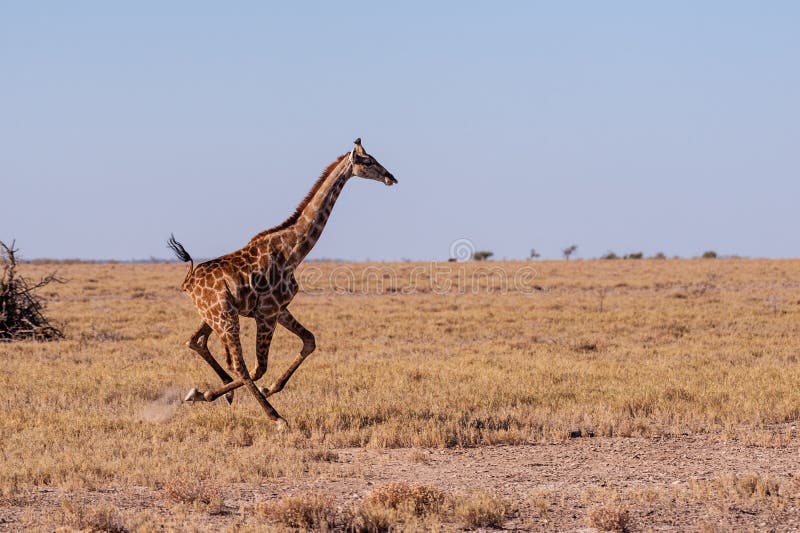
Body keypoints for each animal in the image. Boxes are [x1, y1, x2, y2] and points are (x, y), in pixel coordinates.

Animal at [168, 138, 397, 427]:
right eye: (367, 161)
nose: (391, 177)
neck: (292, 251)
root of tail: (188, 282)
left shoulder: (280, 309)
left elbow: (309, 341)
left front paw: (265, 389)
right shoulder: (266, 312)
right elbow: (259, 368)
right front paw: (269, 409)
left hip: (215, 315)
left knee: (196, 341)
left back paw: (217, 392)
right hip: (224, 316)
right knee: (239, 365)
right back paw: (271, 415)